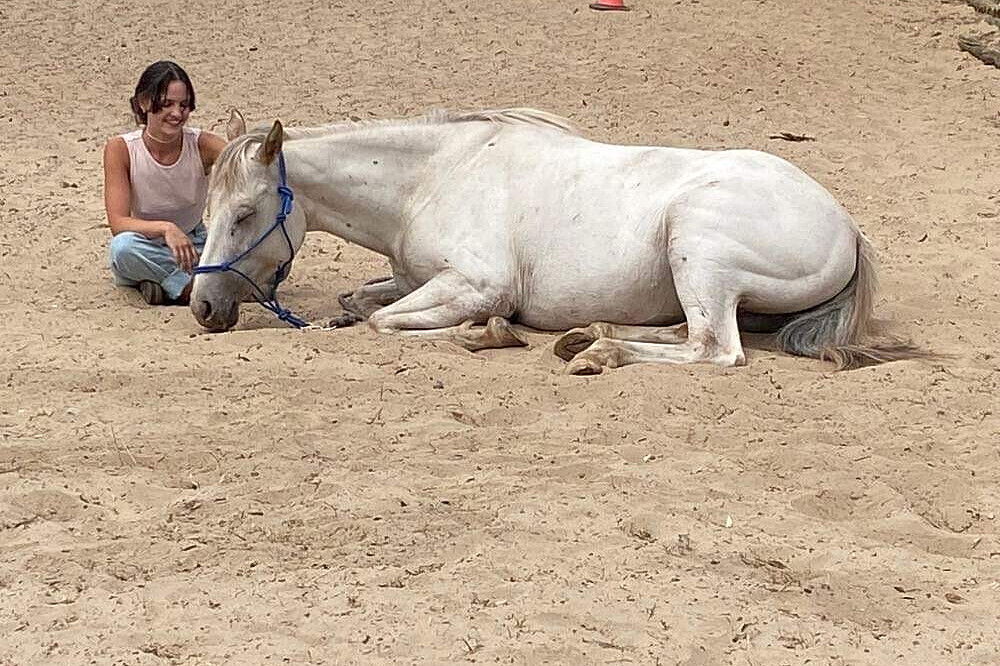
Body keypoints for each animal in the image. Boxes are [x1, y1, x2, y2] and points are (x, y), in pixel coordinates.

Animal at [190, 108, 922, 374]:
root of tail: (846, 225)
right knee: (687, 332)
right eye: (210, 210)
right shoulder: (410, 278)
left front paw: (490, 334)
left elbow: (389, 324)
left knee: (714, 348)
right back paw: (589, 335)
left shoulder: (477, 285)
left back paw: (597, 352)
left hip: (699, 245)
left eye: (246, 213)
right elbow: (362, 304)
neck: (434, 176)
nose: (201, 308)